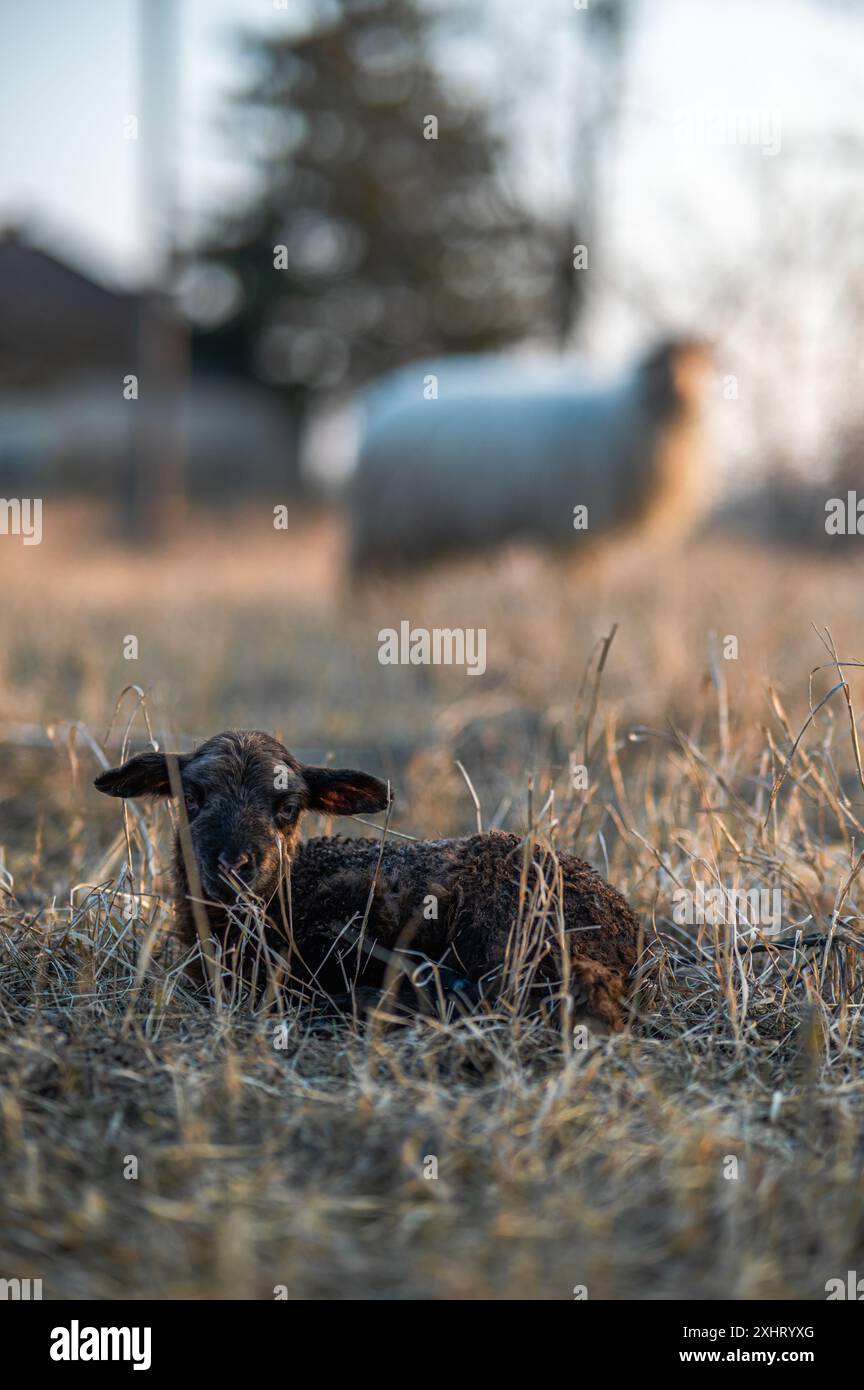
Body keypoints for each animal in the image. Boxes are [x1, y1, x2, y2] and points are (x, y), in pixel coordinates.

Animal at [348, 339, 711, 570]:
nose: (684, 391)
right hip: (384, 526)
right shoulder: (569, 527)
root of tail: (377, 406)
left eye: (702, 362)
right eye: (662, 362)